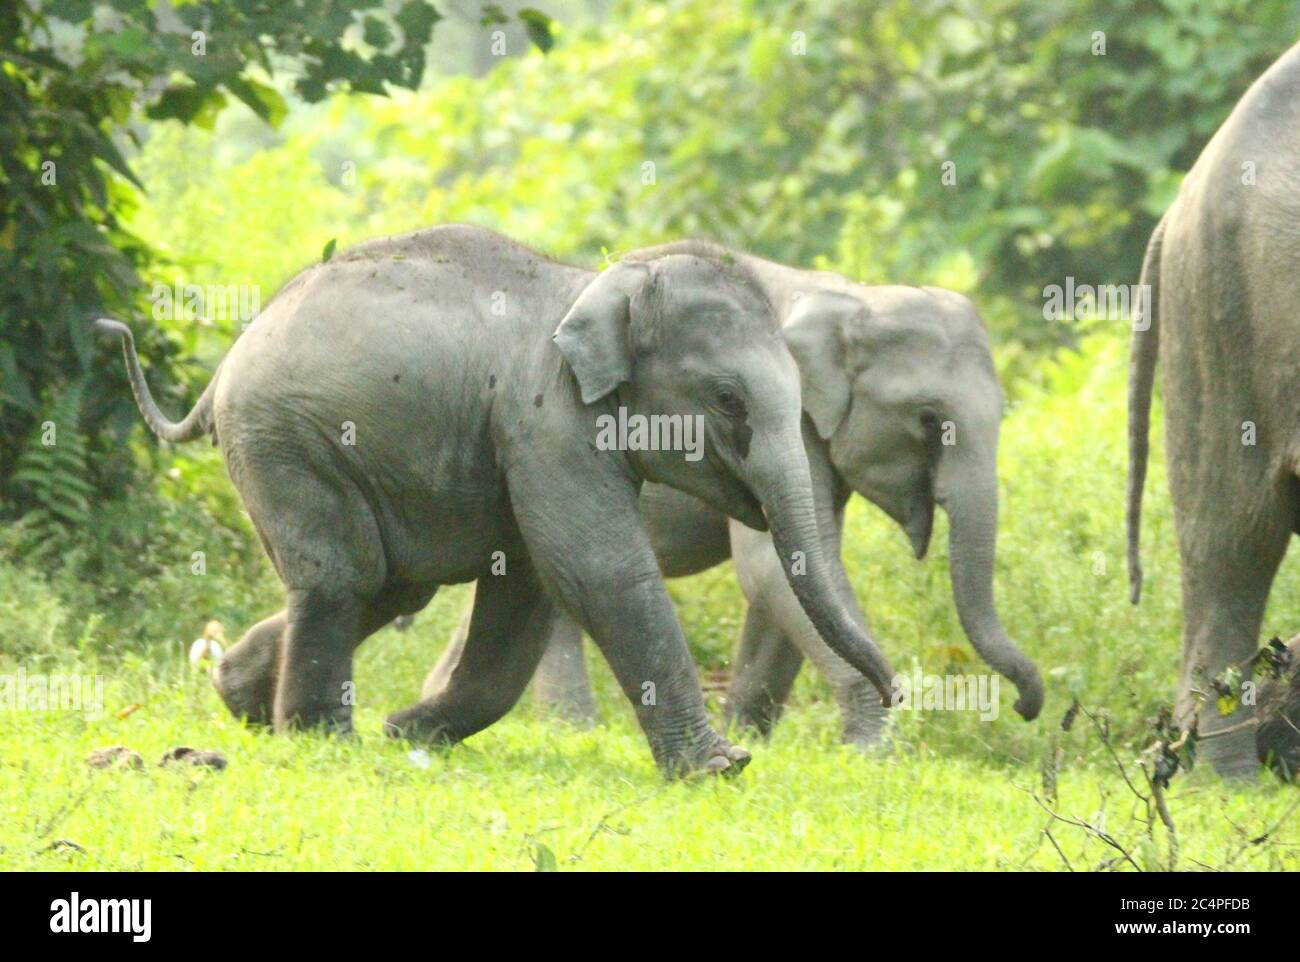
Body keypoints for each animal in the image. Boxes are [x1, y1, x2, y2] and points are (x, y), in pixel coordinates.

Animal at [95, 224, 897, 777]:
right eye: (729, 400)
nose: (892, 691)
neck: (596, 285)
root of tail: (224, 367)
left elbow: (530, 590)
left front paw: (406, 732)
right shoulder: (547, 421)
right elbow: (596, 570)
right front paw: (719, 767)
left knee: (390, 584)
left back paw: (242, 700)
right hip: (284, 441)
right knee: (341, 576)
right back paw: (320, 735)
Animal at [424, 242, 1045, 747]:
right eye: (930, 420)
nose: (1024, 706)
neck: (849, 294)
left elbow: (791, 578)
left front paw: (751, 737)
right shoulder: (791, 423)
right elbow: (772, 569)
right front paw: (873, 752)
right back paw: (574, 728)